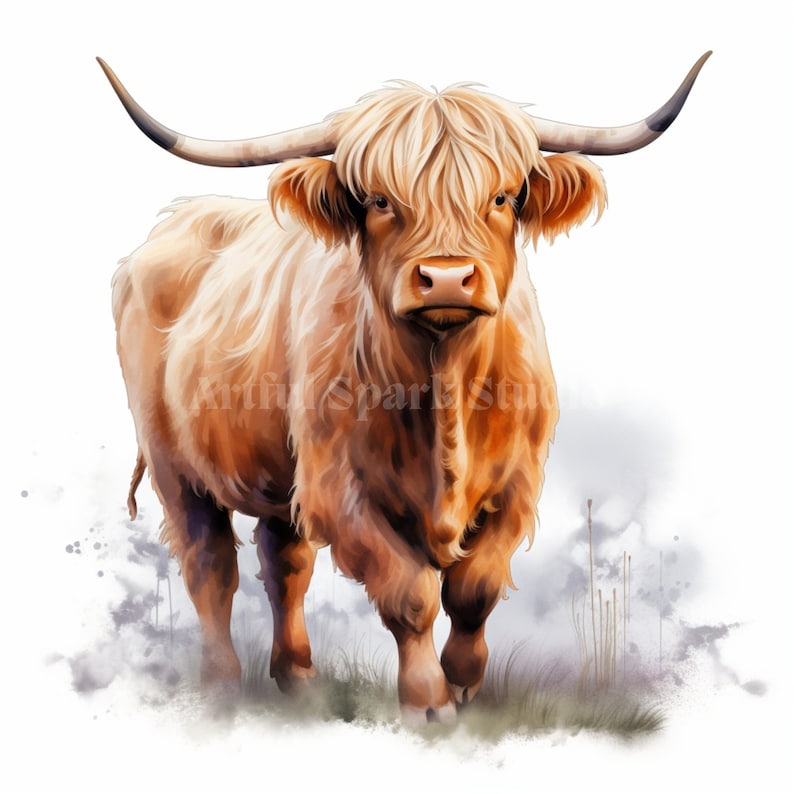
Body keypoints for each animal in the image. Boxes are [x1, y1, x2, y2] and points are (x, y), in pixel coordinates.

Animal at [100, 53, 710, 726]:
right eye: (379, 200)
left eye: (502, 196)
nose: (446, 277)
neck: (443, 391)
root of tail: (179, 219)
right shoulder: (342, 489)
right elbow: (411, 594)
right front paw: (427, 701)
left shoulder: (517, 483)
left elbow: (474, 590)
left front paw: (464, 682)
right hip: (175, 464)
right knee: (210, 565)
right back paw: (222, 688)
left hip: (282, 473)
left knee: (283, 562)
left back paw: (299, 678)